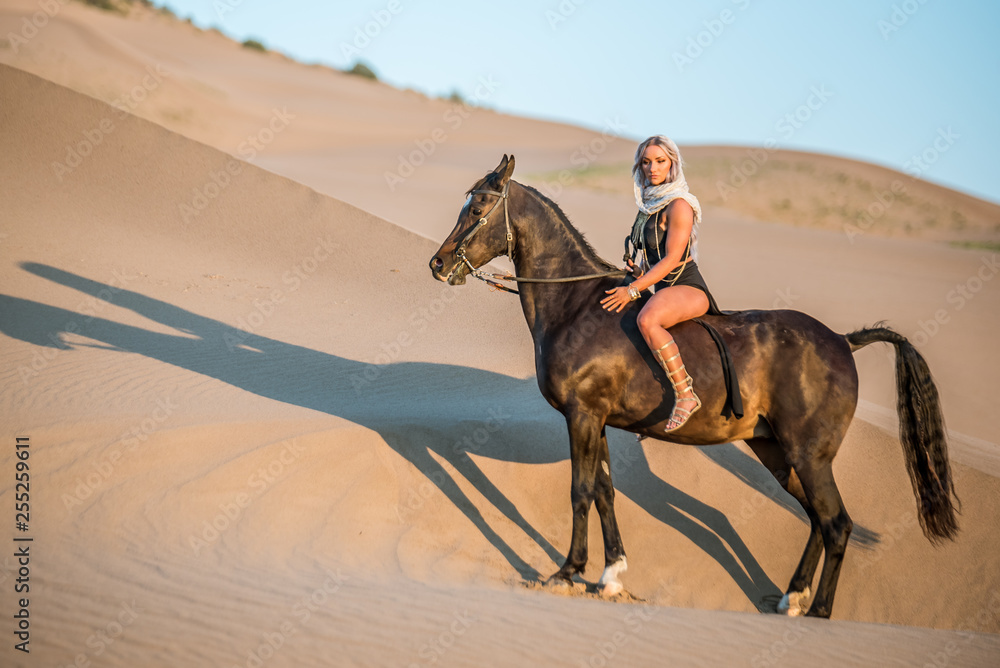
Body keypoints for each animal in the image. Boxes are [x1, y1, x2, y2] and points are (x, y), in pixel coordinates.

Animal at [428, 155, 958, 618]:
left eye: (477, 207)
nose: (437, 263)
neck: (576, 305)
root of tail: (843, 341)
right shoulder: (597, 421)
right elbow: (604, 492)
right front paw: (611, 576)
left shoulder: (582, 416)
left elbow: (580, 491)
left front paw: (567, 571)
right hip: (777, 451)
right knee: (818, 519)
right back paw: (793, 598)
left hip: (809, 455)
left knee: (837, 523)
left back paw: (820, 610)